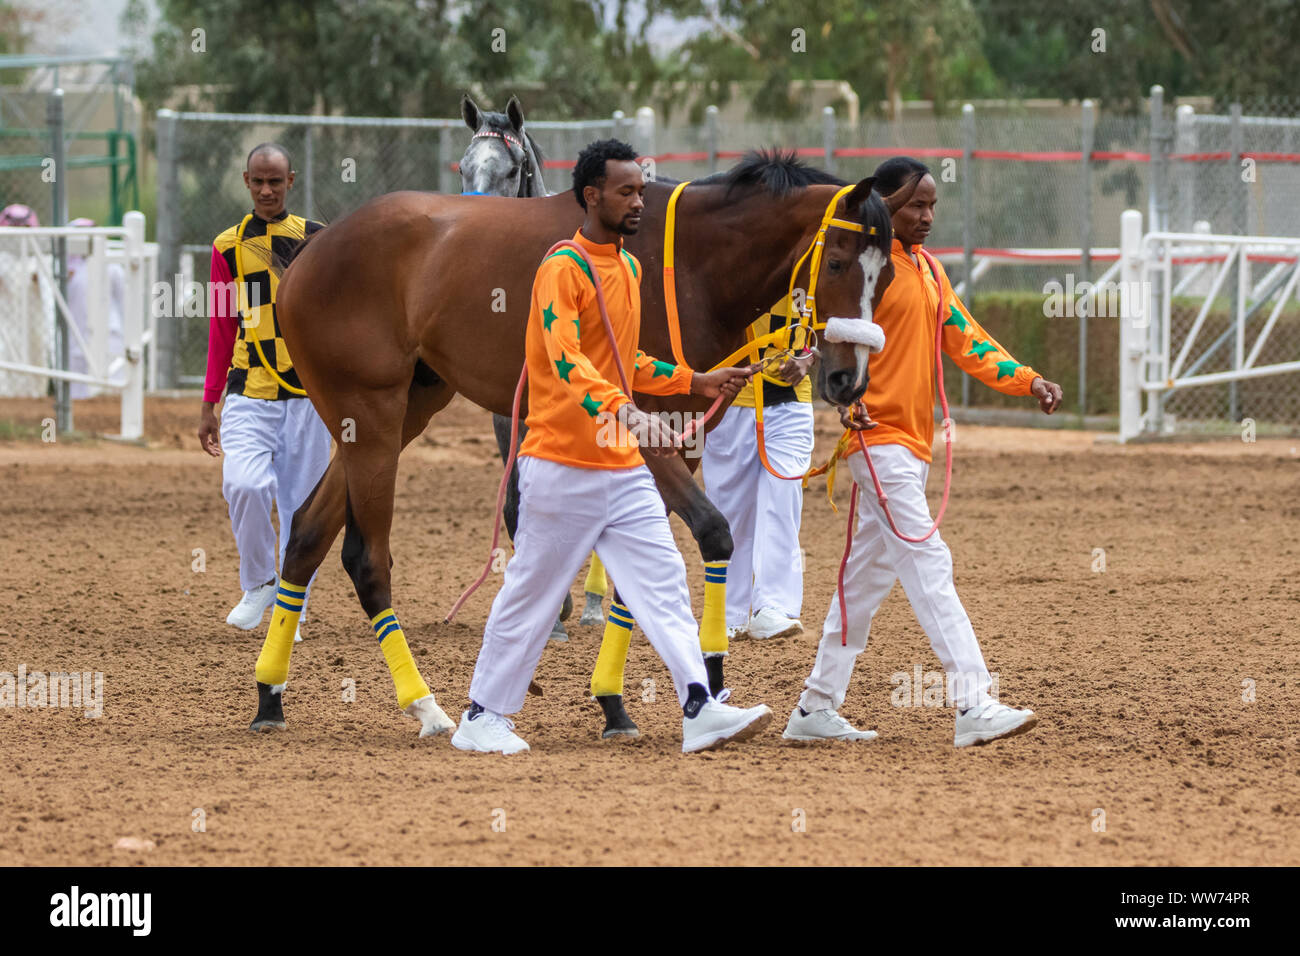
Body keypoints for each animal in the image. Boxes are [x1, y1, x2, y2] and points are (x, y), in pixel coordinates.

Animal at [251, 149, 895, 737]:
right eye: (837, 262)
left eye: (886, 274)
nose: (849, 379)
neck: (694, 262)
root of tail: (313, 249)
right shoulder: (648, 432)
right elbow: (711, 533)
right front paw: (704, 681)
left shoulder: (684, 433)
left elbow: (641, 572)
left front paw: (622, 701)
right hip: (371, 413)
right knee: (367, 559)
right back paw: (425, 706)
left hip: (398, 411)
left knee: (306, 535)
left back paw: (269, 698)